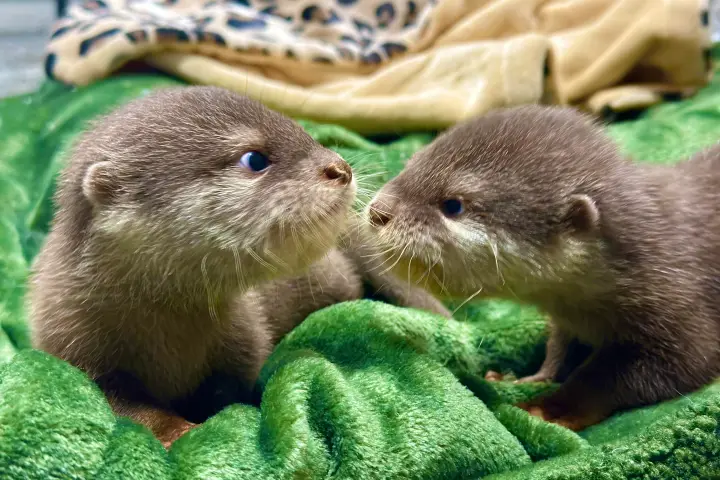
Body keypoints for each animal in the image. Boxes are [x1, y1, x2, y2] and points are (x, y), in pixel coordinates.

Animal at [29, 86, 449, 447]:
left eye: (300, 129)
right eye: (254, 159)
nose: (340, 167)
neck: (170, 343)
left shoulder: (244, 341)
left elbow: (232, 394)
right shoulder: (73, 350)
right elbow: (122, 404)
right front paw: (175, 430)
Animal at [365, 105, 720, 431]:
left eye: (453, 205)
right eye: (412, 164)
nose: (378, 211)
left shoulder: (680, 309)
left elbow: (633, 371)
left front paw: (553, 408)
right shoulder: (567, 320)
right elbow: (559, 349)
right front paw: (523, 379)